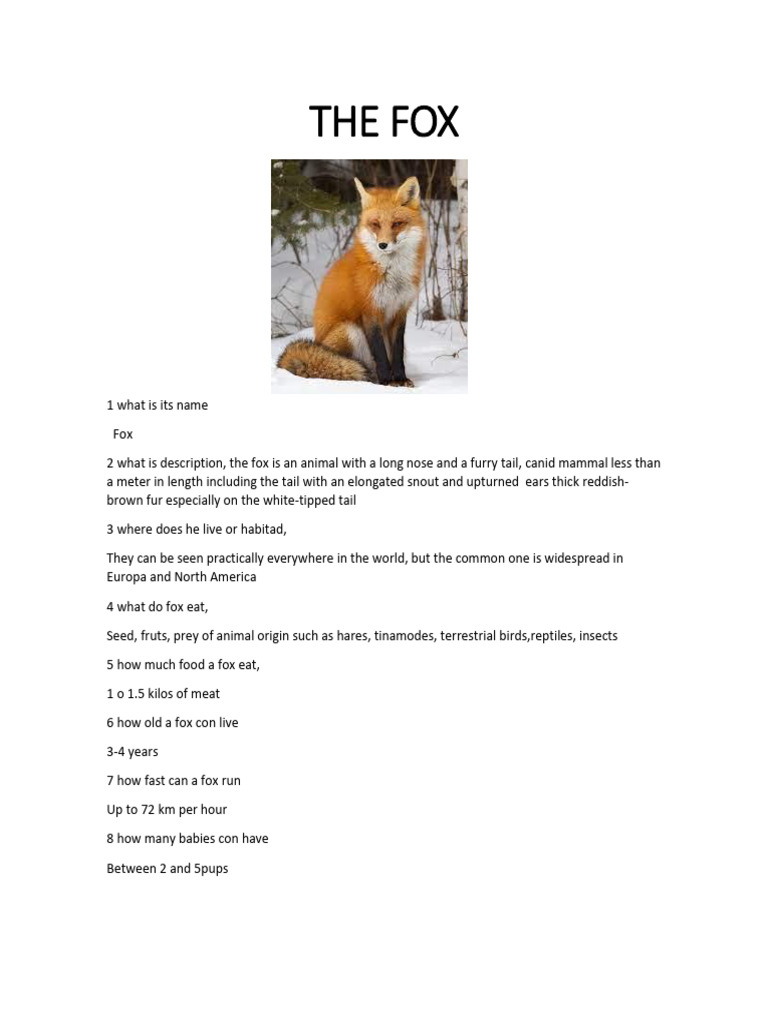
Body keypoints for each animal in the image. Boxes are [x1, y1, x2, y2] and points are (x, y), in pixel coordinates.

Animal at [277, 176, 427, 386]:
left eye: (397, 223)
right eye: (375, 224)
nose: (383, 245)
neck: (391, 272)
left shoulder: (399, 311)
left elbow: (396, 353)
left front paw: (400, 379)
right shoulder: (370, 311)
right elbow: (381, 354)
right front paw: (388, 382)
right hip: (349, 329)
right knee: (352, 366)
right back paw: (369, 379)